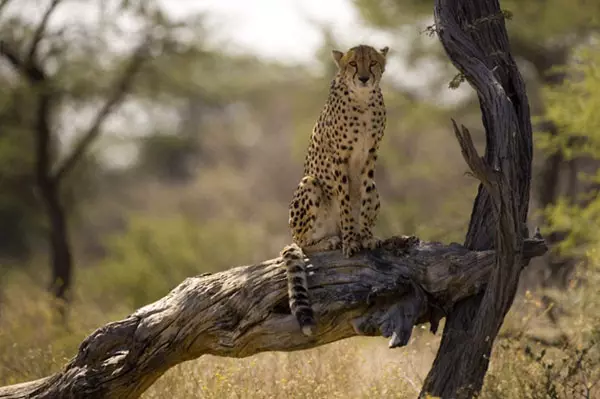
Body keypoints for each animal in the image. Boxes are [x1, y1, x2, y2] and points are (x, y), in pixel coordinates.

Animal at [282, 44, 390, 338]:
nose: (363, 78)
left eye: (373, 63)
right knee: (303, 242)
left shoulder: (370, 157)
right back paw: (330, 241)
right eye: (353, 64)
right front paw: (351, 241)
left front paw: (366, 236)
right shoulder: (339, 159)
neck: (363, 100)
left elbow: (364, 197)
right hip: (309, 183)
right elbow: (344, 202)